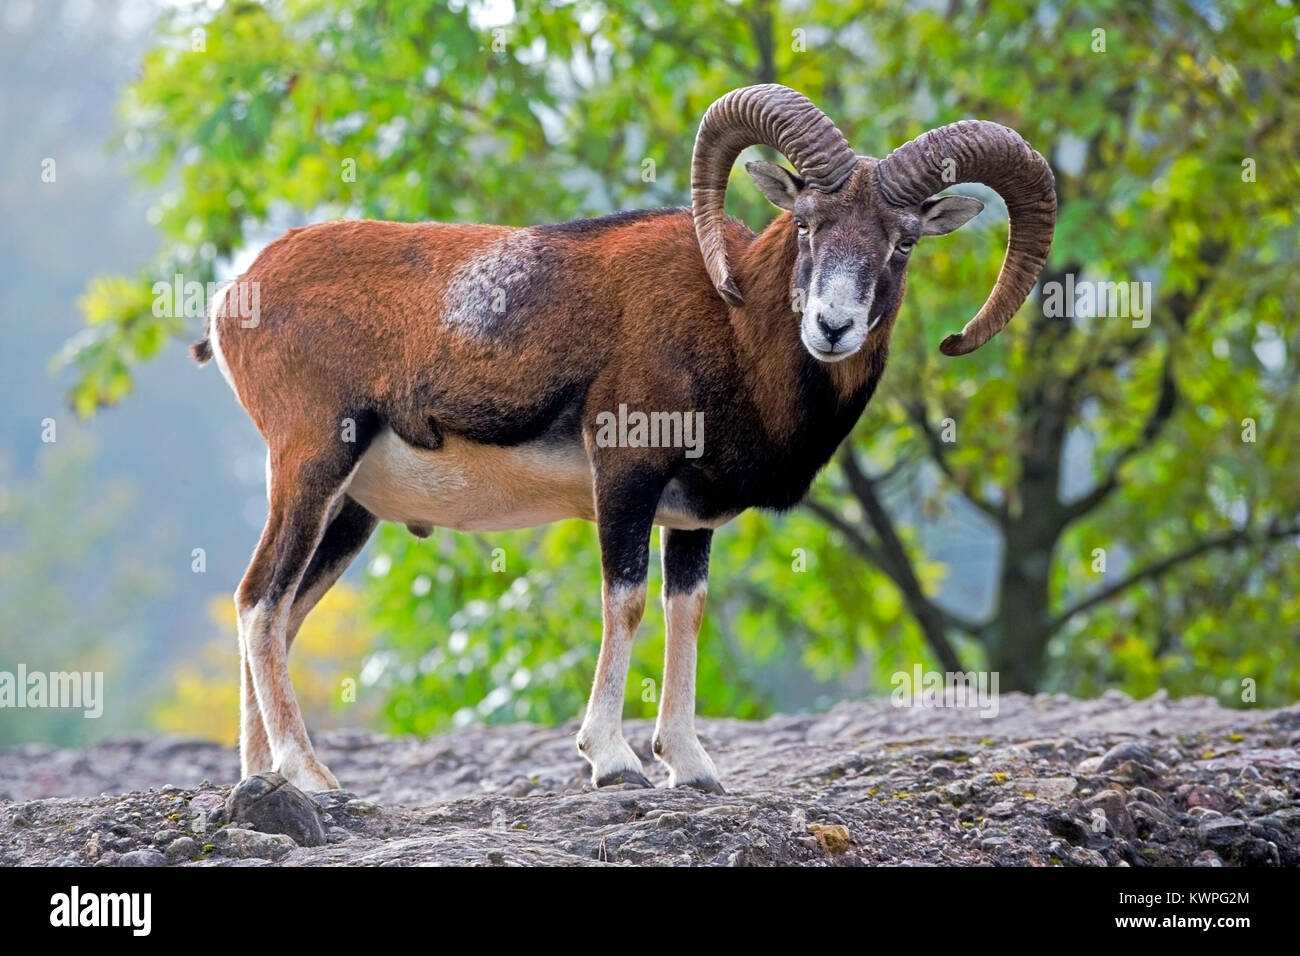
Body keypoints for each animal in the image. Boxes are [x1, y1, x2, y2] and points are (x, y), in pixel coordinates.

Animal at [192, 84, 1056, 793]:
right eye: (808, 222)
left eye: (902, 241)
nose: (833, 327)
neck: (731, 330)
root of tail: (235, 297)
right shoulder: (626, 480)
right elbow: (628, 603)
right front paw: (612, 760)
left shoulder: (693, 520)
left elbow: (685, 612)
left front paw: (691, 766)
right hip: (311, 467)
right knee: (259, 601)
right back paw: (311, 778)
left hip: (349, 513)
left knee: (280, 612)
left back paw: (261, 782)